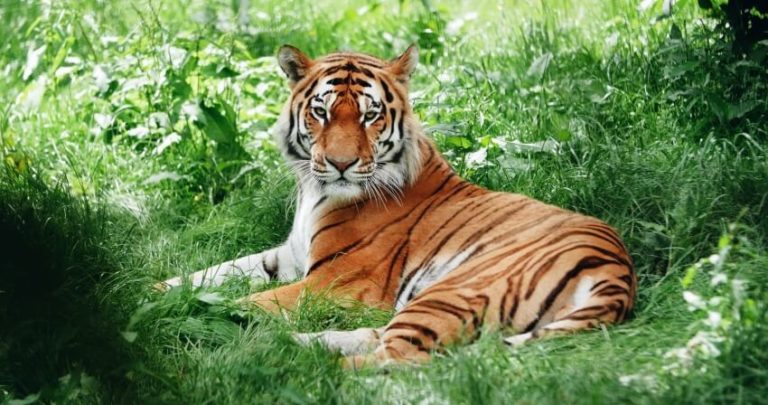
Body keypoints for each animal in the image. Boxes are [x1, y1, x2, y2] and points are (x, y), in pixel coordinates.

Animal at [158, 44, 636, 368]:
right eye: (321, 112)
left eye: (370, 115)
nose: (341, 164)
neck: (315, 192)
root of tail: (618, 270)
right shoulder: (287, 256)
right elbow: (208, 274)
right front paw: (154, 293)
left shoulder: (335, 282)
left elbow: (249, 301)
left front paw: (196, 314)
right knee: (379, 339)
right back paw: (287, 346)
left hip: (450, 290)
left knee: (395, 361)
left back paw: (284, 363)